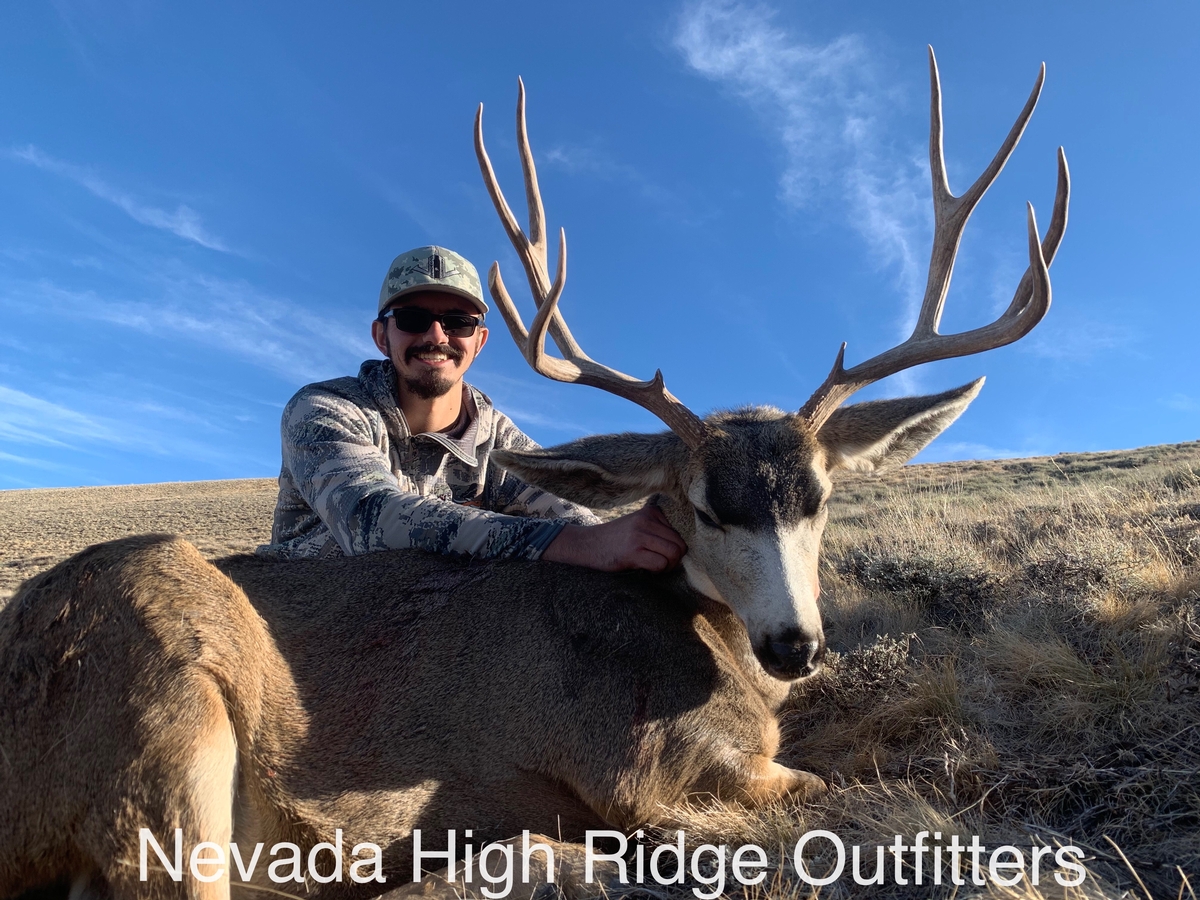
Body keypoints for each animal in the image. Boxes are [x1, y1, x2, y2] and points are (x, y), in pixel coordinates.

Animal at [0, 47, 1067, 900]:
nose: (796, 646)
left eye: (820, 497)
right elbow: (851, 790)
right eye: (698, 507)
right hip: (163, 702)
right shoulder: (644, 771)